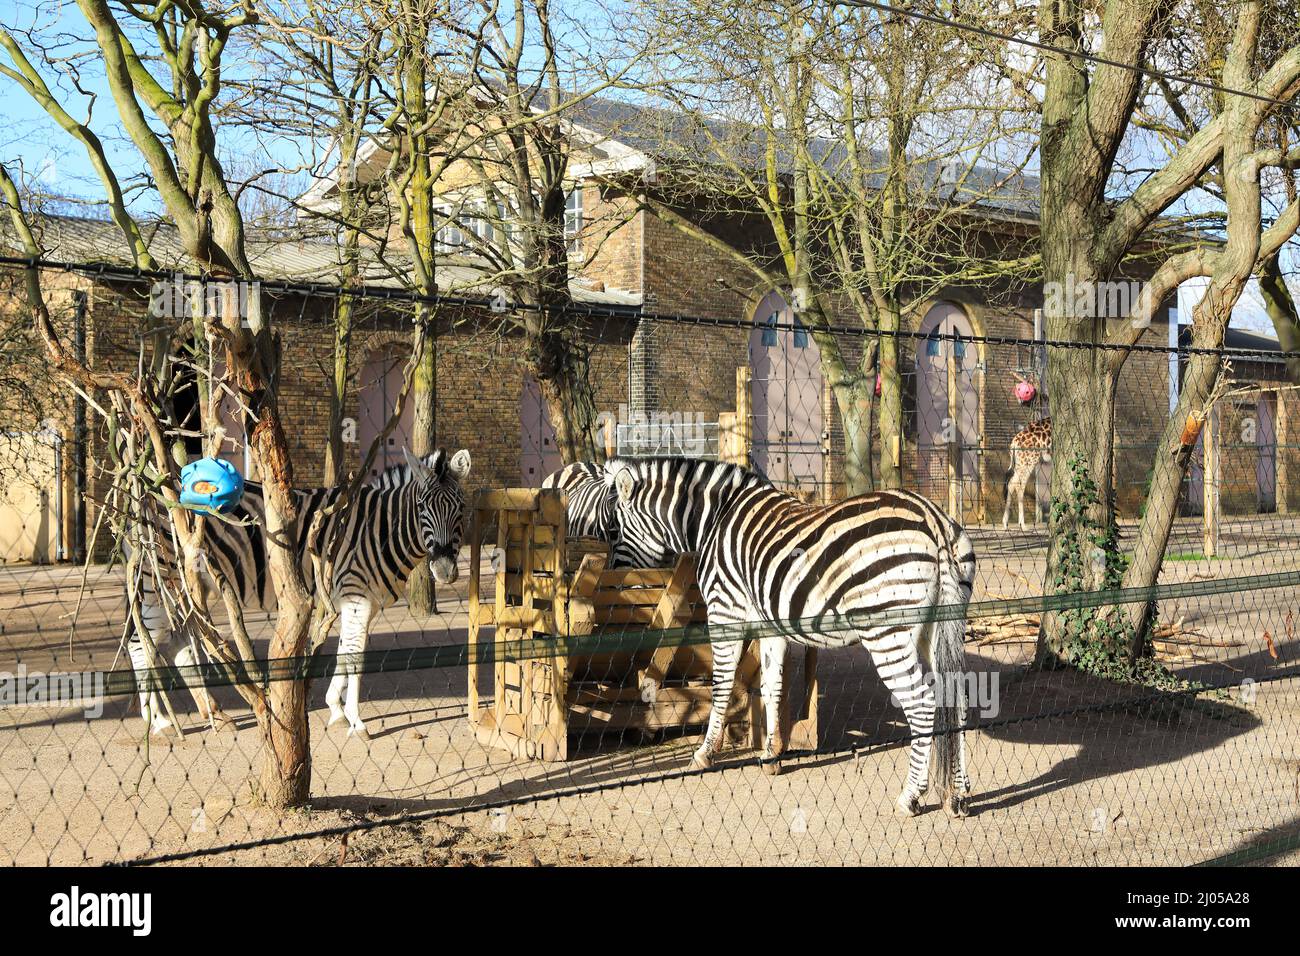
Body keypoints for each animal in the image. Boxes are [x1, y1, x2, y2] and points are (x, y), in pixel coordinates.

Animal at [128, 447, 471, 740]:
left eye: (461, 508)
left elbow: (345, 649)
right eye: (421, 507)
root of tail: (149, 491)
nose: (444, 570)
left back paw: (213, 715)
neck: (380, 529)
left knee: (176, 644)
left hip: (183, 586)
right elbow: (355, 653)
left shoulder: (362, 601)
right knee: (141, 644)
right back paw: (158, 721)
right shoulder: (356, 594)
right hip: (159, 577)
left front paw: (336, 709)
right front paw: (356, 720)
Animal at [604, 456, 976, 817]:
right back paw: (957, 796)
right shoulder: (770, 625)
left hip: (887, 631)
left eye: (613, 529)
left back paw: (910, 796)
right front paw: (771, 756)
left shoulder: (725, 611)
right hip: (938, 628)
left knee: (923, 702)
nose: (614, 582)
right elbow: (772, 688)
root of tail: (933, 519)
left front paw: (705, 753)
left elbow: (722, 685)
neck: (715, 519)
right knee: (956, 697)